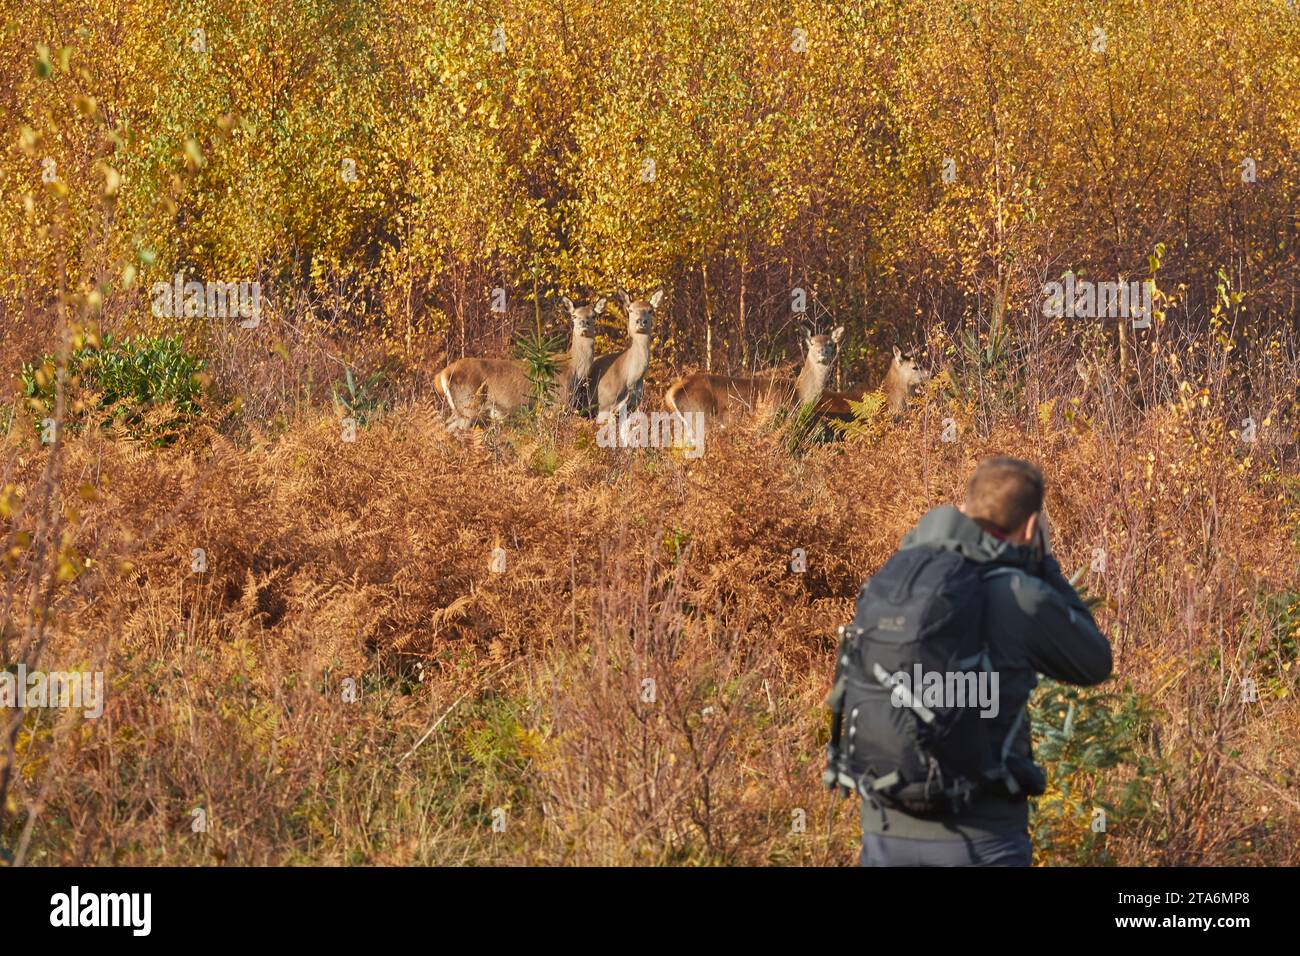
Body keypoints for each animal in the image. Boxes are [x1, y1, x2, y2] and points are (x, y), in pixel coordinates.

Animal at [435, 297, 602, 431]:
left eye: (593, 316)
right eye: (574, 316)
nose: (584, 323)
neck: (573, 371)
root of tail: (442, 375)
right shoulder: (555, 403)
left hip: (459, 409)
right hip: (468, 404)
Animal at [665, 325, 845, 429]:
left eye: (830, 343)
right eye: (812, 343)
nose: (822, 351)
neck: (798, 393)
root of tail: (670, 393)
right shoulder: (771, 417)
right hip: (700, 414)